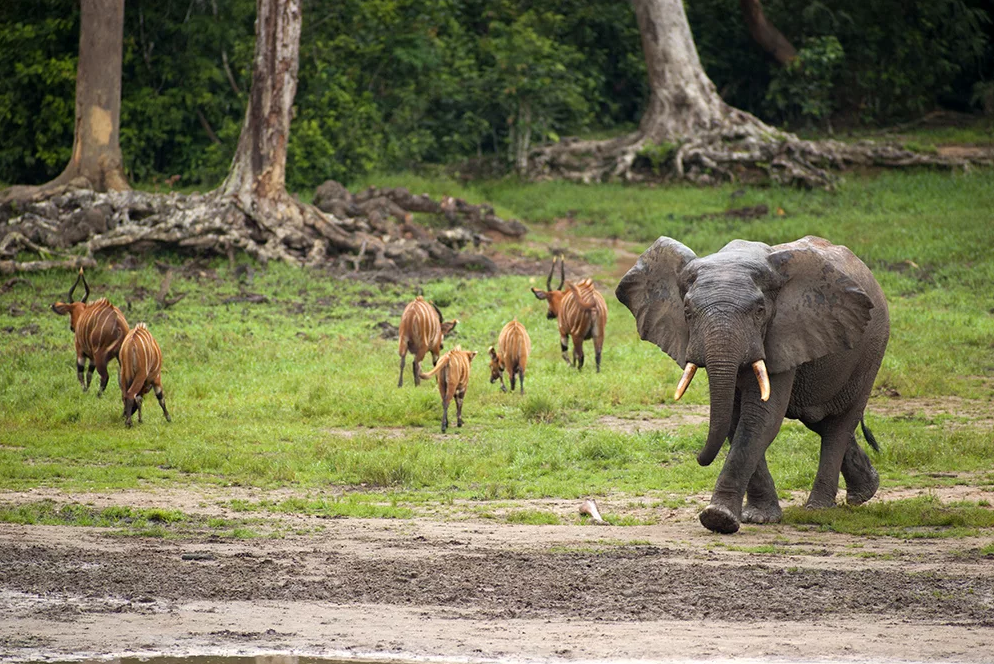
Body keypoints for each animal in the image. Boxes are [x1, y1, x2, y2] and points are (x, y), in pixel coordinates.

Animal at [50, 268, 131, 396]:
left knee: (105, 376)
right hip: (119, 357)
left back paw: (98, 396)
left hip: (100, 357)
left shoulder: (80, 351)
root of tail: (118, 325)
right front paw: (87, 390)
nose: (72, 327)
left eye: (70, 313)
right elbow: (89, 374)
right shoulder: (92, 358)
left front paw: (84, 391)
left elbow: (81, 373)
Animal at [616, 235, 888, 536]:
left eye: (759, 312)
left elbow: (760, 418)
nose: (699, 458)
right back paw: (864, 492)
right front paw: (757, 517)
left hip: (872, 350)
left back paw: (819, 509)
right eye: (687, 312)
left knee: (839, 423)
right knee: (820, 420)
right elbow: (735, 419)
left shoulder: (781, 334)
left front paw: (718, 518)